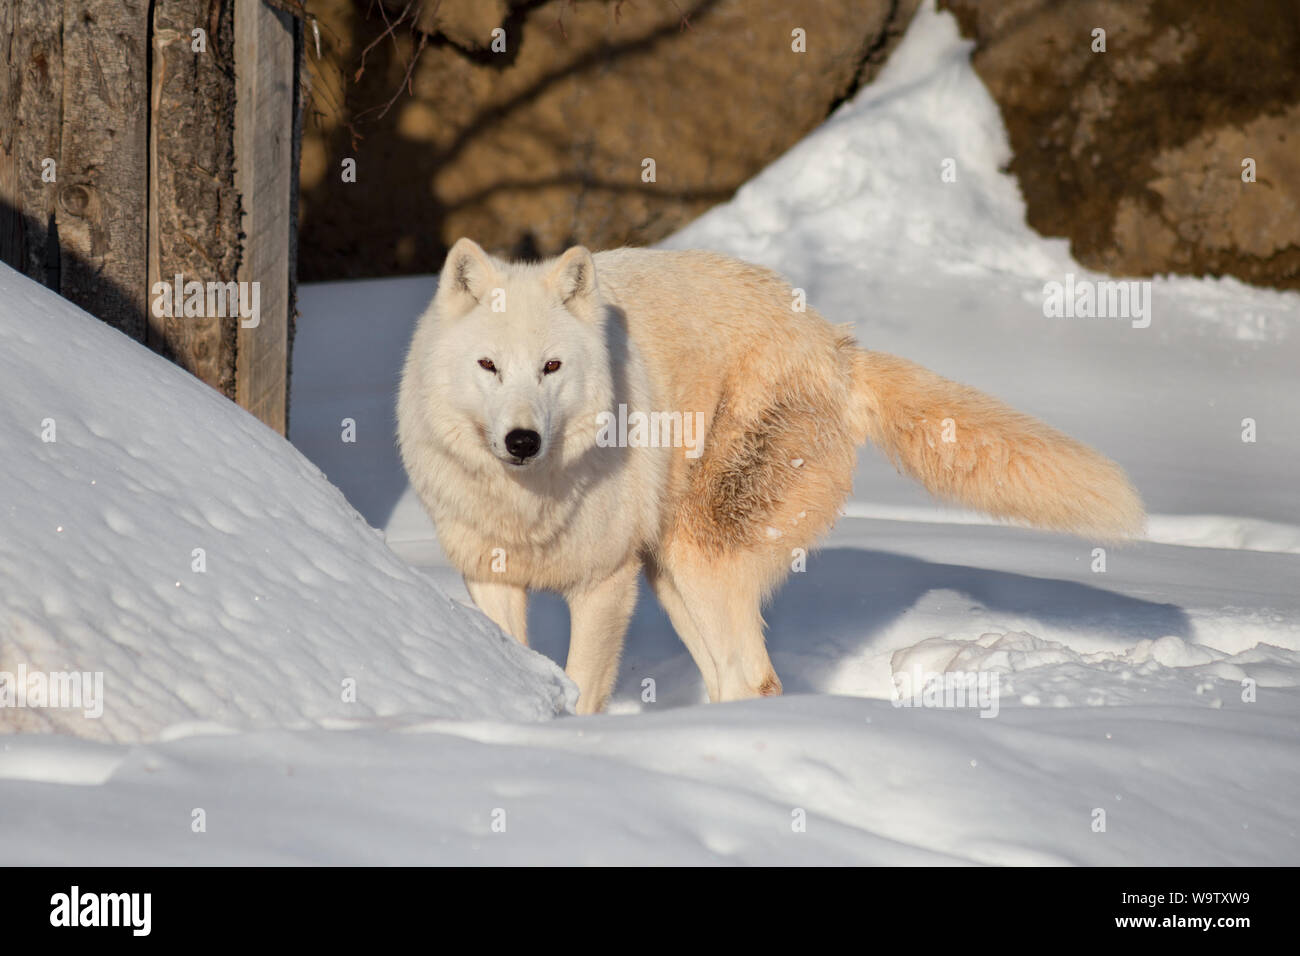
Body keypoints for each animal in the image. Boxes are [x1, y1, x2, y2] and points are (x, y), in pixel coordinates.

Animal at [398, 239, 1145, 714]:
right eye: (489, 366)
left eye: (551, 367)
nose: (522, 441)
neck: (531, 504)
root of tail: (838, 348)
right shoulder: (490, 578)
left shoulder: (604, 583)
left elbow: (583, 692)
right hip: (672, 575)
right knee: (734, 680)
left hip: (695, 557)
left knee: (755, 681)